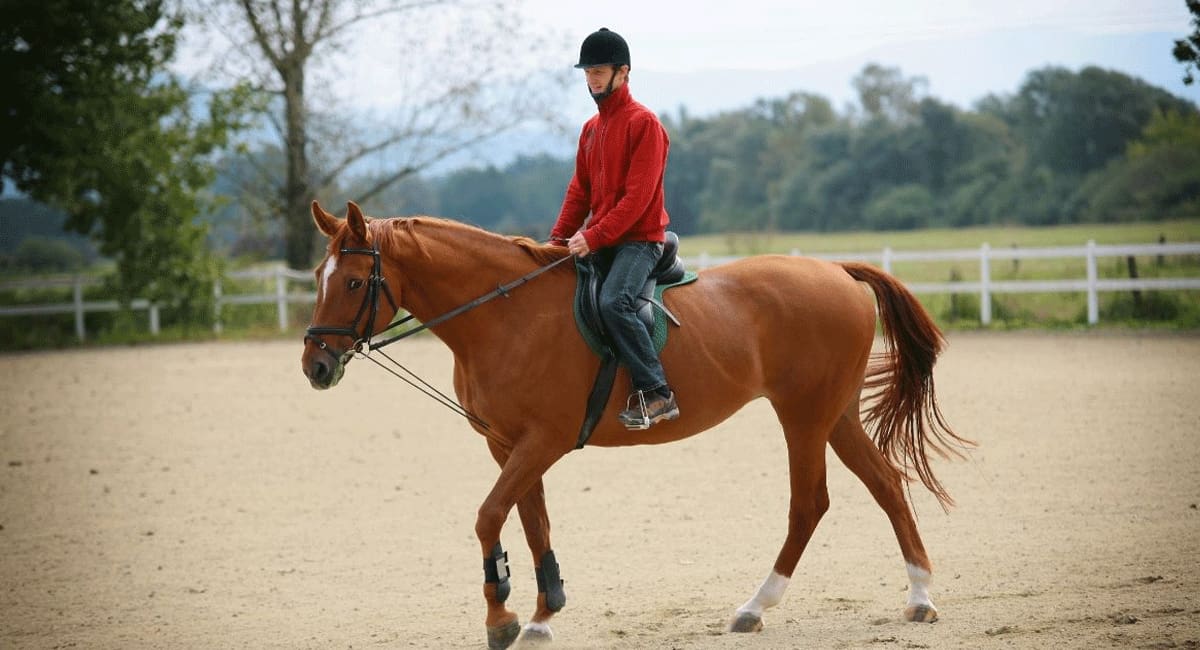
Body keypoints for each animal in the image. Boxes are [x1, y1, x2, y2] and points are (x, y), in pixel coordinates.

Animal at [300, 200, 971, 649]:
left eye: (354, 281)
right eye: (317, 280)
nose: (316, 365)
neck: (504, 315)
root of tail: (838, 271)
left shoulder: (542, 441)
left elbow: (489, 516)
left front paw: (502, 618)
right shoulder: (507, 445)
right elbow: (534, 521)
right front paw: (543, 614)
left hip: (803, 414)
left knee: (810, 503)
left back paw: (757, 606)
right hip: (833, 414)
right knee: (886, 483)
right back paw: (919, 597)